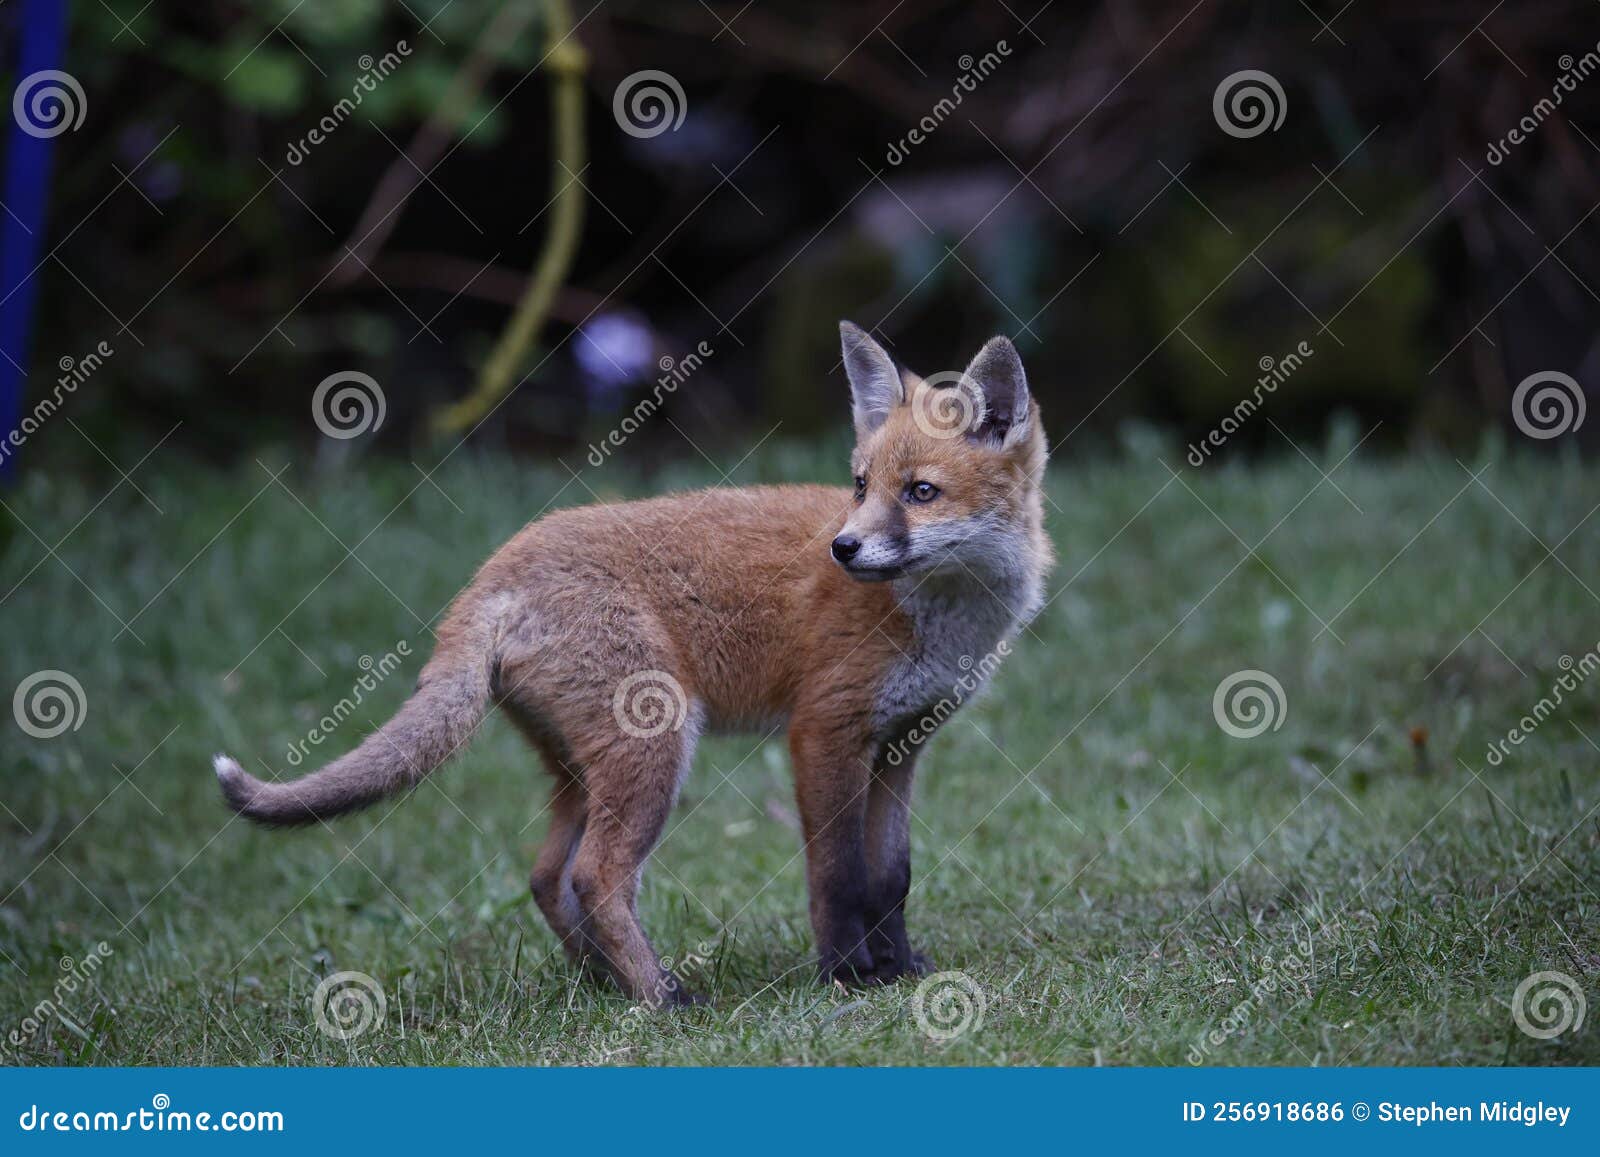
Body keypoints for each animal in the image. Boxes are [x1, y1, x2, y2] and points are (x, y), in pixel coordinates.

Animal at [213, 321, 1052, 1006]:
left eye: (920, 492)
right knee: (595, 876)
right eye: (860, 485)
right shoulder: (824, 731)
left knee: (547, 874)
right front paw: (847, 975)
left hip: (583, 767)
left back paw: (601, 985)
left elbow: (891, 877)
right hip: (653, 748)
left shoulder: (902, 743)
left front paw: (900, 968)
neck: (943, 617)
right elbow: (838, 876)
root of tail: (491, 574)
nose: (843, 550)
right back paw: (662, 999)